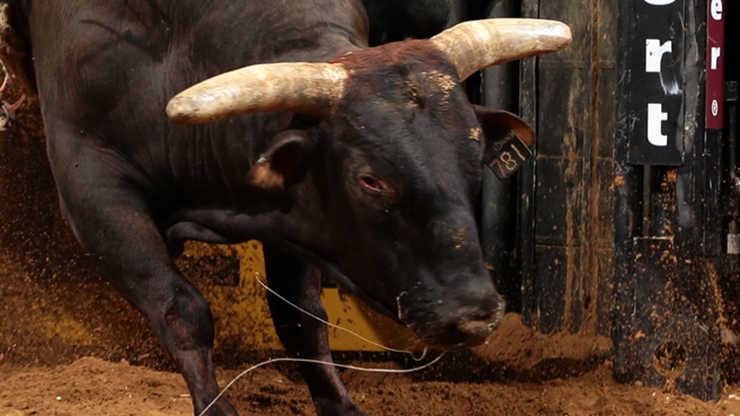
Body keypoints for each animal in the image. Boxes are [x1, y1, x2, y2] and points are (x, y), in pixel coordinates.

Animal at [3, 1, 570, 415]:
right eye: (369, 179)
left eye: (474, 158)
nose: (473, 313)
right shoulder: (94, 189)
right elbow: (181, 309)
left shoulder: (294, 219)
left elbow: (303, 320)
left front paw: (341, 405)